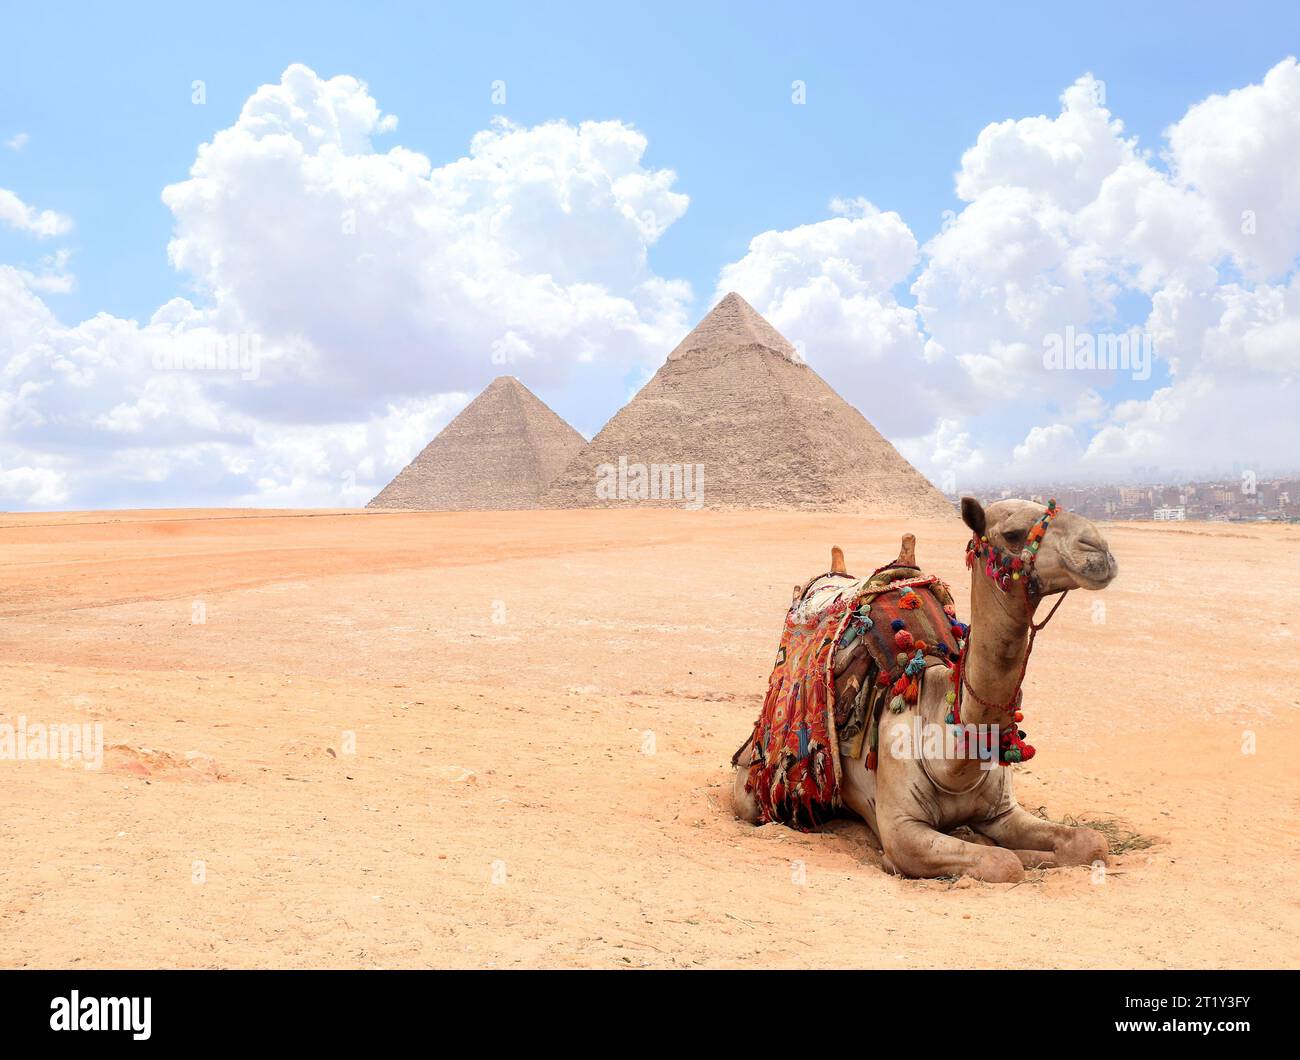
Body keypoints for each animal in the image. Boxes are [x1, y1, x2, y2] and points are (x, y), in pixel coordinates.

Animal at [733, 496, 1119, 883]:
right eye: (1012, 533)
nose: (1098, 549)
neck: (952, 758)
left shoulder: (1003, 811)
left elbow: (1091, 842)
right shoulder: (903, 828)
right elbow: (1004, 863)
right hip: (754, 787)